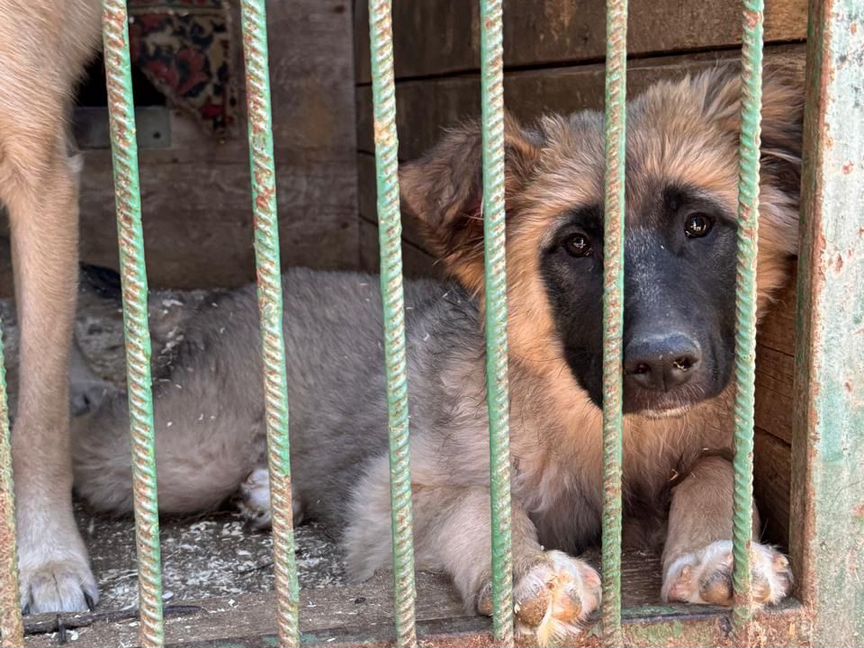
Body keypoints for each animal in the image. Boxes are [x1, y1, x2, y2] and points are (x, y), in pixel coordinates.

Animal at [69, 67, 804, 644]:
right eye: (577, 245)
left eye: (699, 225)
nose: (660, 364)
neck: (594, 420)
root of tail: (236, 294)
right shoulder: (386, 500)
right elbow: (476, 501)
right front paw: (529, 570)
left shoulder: (705, 440)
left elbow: (713, 472)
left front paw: (715, 552)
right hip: (187, 455)